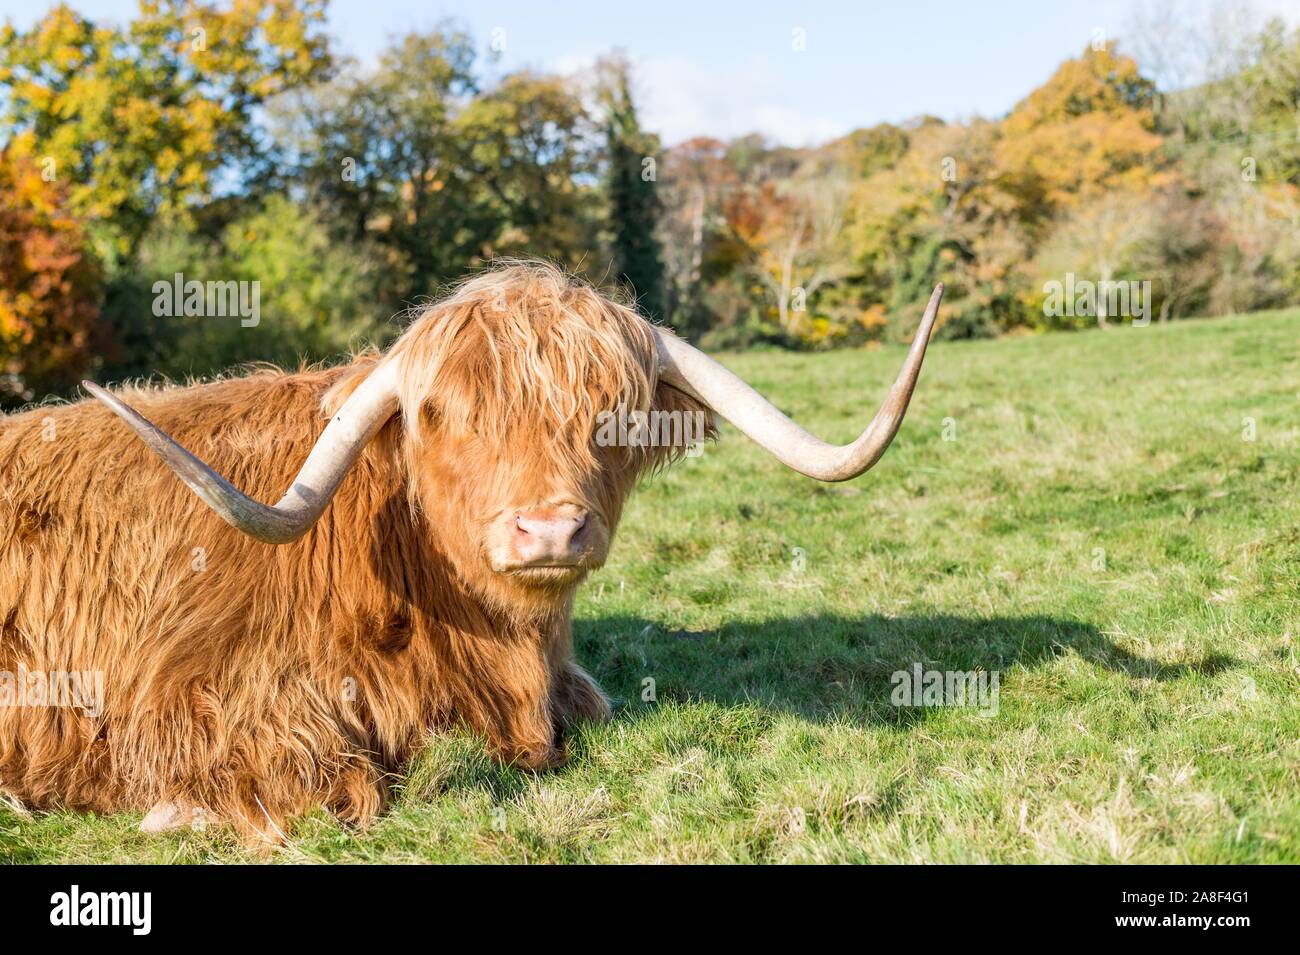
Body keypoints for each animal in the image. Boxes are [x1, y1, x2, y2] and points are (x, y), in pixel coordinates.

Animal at [0, 262, 942, 839]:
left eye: (613, 414)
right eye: (447, 414)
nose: (550, 530)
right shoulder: (184, 692)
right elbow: (336, 785)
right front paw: (174, 813)